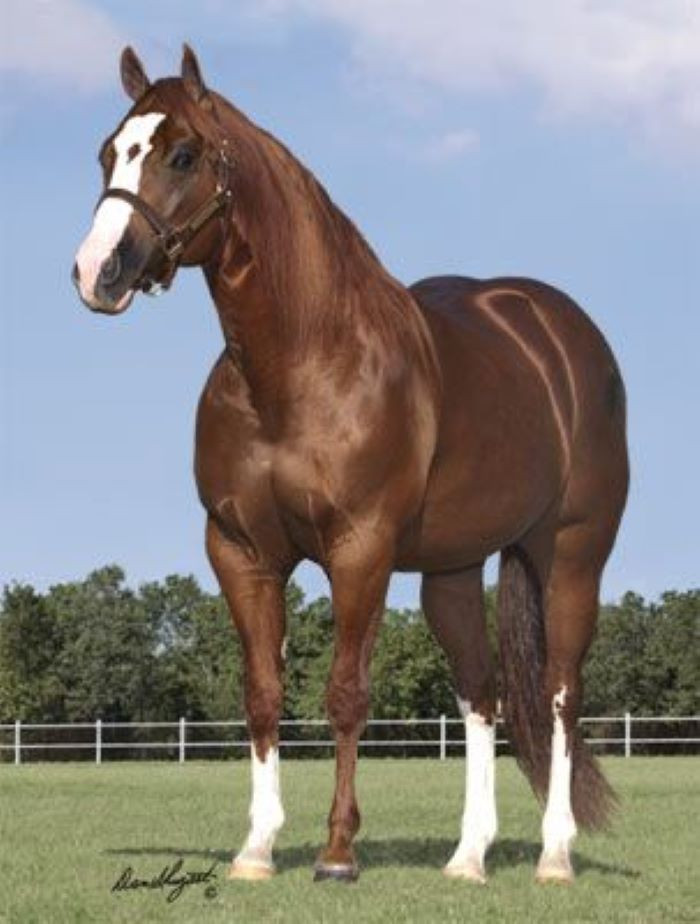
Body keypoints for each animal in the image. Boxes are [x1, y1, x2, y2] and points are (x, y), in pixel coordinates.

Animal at [73, 45, 628, 885]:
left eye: (183, 154)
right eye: (110, 152)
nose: (97, 272)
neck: (299, 364)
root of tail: (561, 333)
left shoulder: (359, 549)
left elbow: (344, 694)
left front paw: (337, 853)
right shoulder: (240, 552)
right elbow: (263, 695)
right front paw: (256, 849)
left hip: (569, 555)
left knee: (560, 693)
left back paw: (555, 855)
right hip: (453, 572)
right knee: (483, 695)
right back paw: (468, 857)